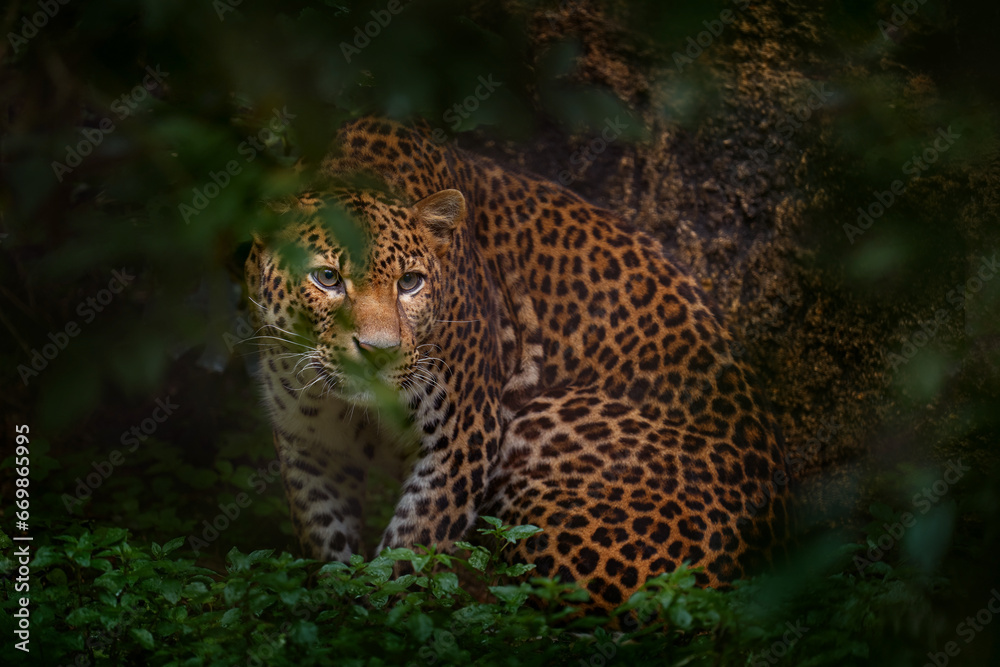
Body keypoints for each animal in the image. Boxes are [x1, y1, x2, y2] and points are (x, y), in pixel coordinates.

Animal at [244, 116, 791, 611]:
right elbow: (327, 545)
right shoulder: (311, 445)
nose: (379, 352)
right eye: (327, 278)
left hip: (544, 428)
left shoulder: (461, 438)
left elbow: (409, 551)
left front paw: (384, 615)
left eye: (410, 283)